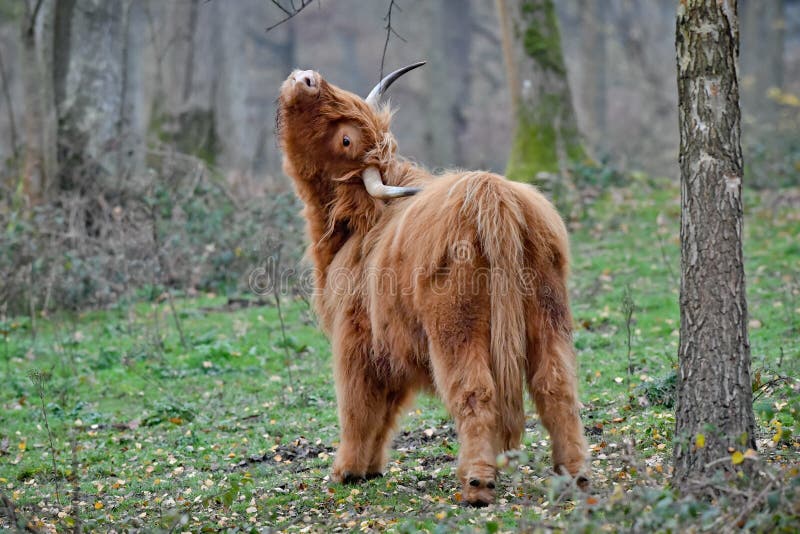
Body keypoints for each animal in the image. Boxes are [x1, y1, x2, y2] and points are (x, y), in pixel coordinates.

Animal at [277, 62, 587, 506]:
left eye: (346, 138)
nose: (307, 78)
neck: (359, 222)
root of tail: (490, 193)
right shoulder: (390, 348)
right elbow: (385, 412)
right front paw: (371, 468)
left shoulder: (356, 338)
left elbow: (357, 406)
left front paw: (347, 470)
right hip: (549, 314)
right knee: (557, 386)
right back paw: (575, 476)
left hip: (455, 328)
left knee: (475, 391)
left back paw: (477, 483)